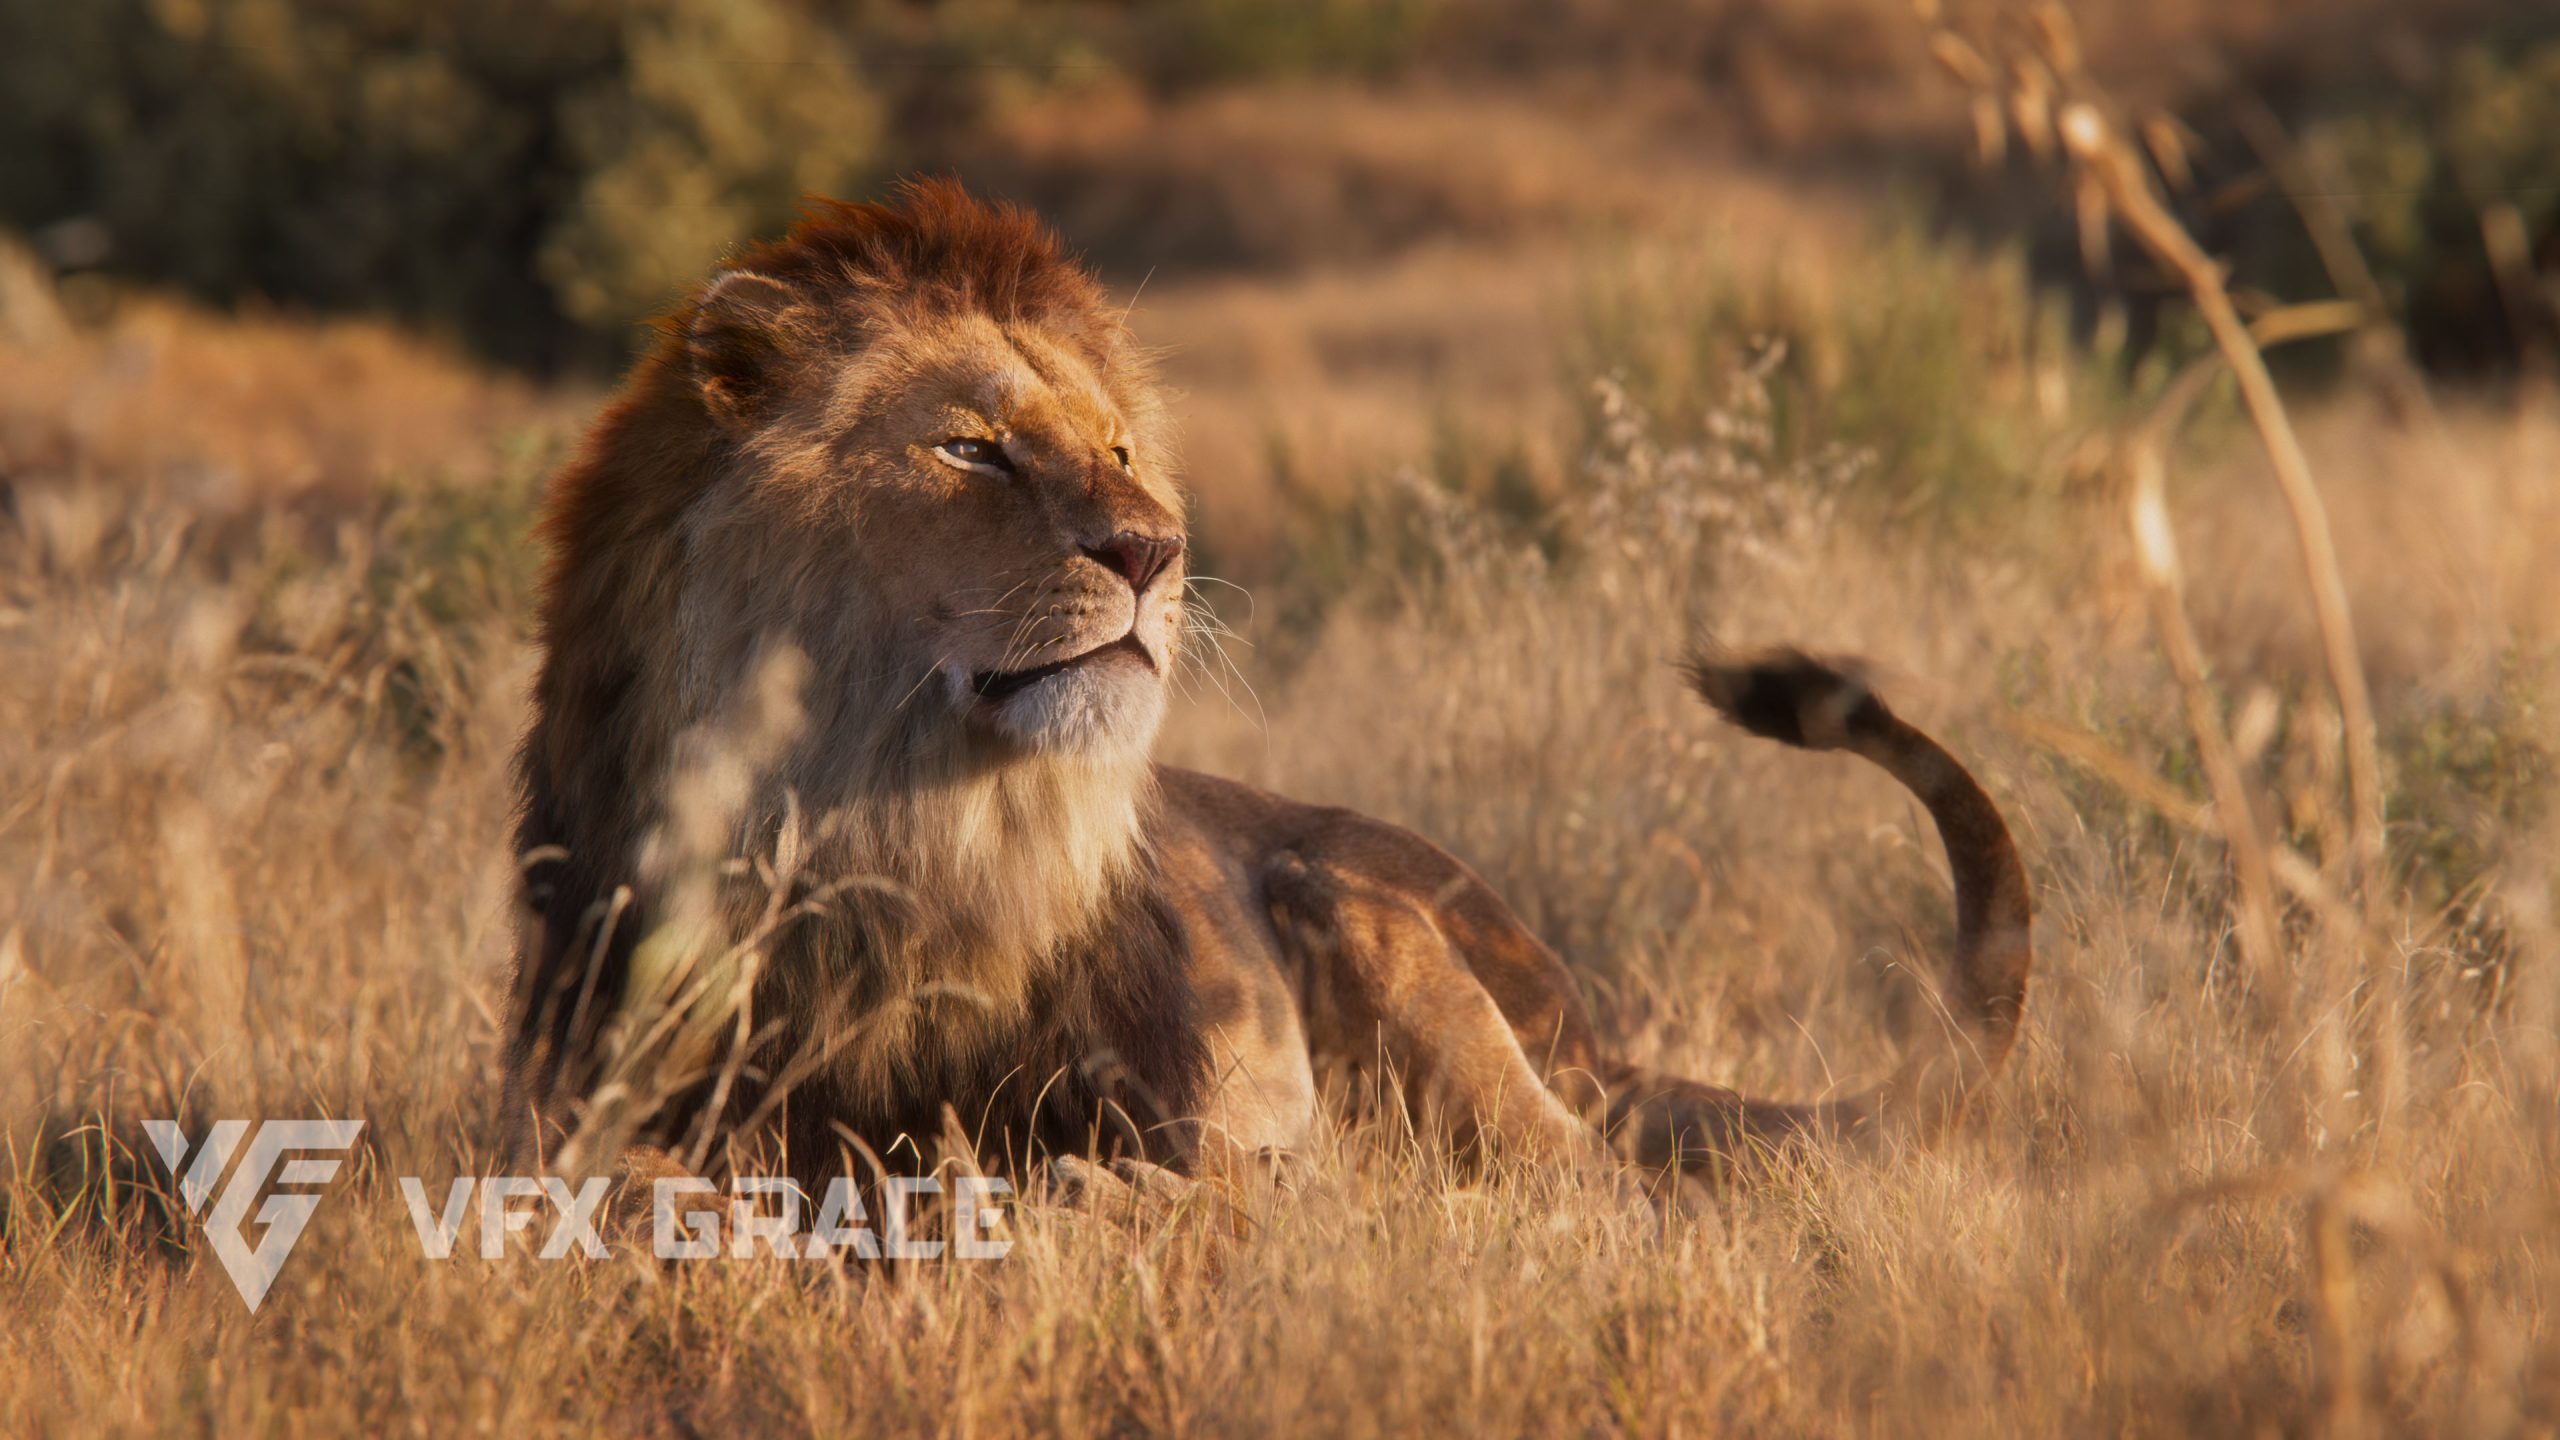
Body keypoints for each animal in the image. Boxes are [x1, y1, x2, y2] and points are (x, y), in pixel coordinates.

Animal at [502, 180, 2032, 1200]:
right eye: (971, 449)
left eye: (1120, 449)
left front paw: (1102, 1194)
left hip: (1360, 914)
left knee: (1592, 1187)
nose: (1154, 551)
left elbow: (1194, 1180)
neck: (904, 832)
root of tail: (1582, 1021)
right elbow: (639, 1185)